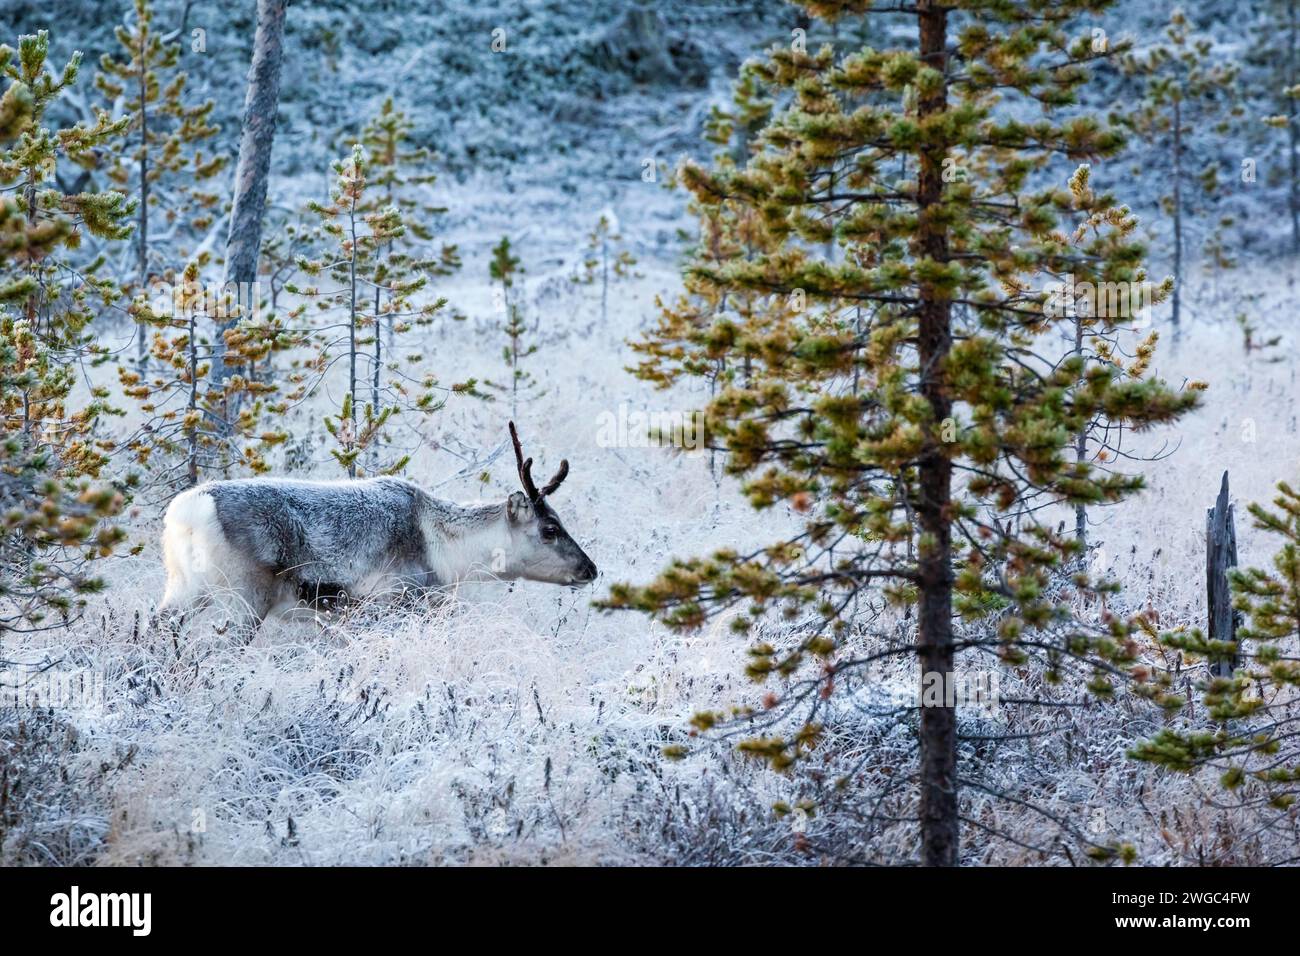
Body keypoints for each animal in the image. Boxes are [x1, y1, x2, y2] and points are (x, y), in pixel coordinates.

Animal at [157, 421, 597, 629]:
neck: (444, 548)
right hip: (242, 599)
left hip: (183, 588)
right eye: (550, 528)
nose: (591, 570)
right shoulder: (394, 601)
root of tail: (187, 512)